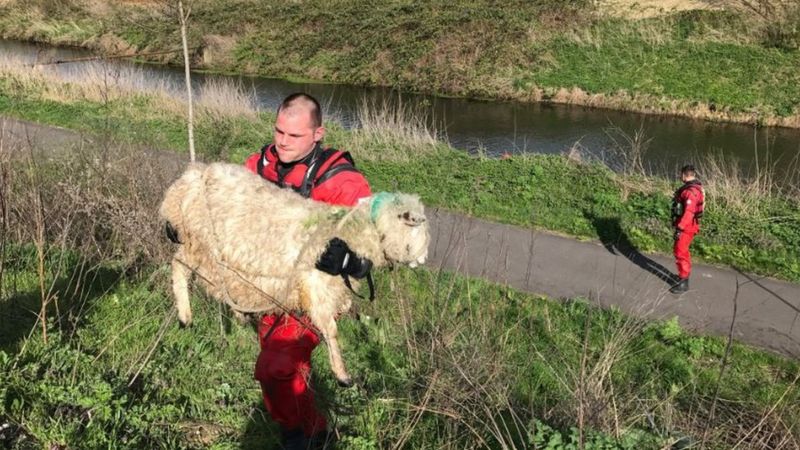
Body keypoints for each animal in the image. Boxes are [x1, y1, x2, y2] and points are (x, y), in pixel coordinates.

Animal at [159, 162, 429, 385]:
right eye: (417, 227)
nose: (424, 259)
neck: (352, 235)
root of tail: (194, 175)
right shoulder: (317, 287)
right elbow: (330, 329)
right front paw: (342, 374)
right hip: (200, 244)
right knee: (178, 265)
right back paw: (185, 316)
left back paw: (235, 314)